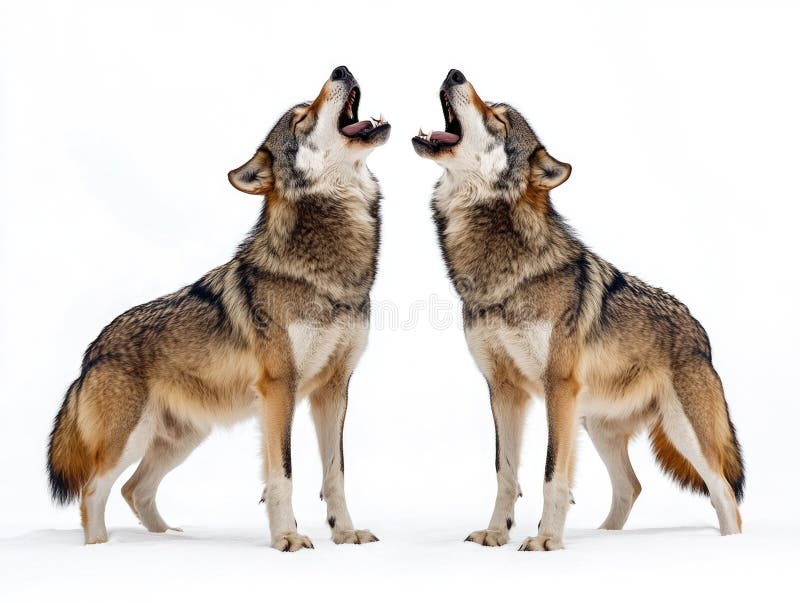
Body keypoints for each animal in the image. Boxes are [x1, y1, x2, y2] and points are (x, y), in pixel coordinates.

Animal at [47, 66, 390, 550]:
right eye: (302, 117)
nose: (341, 69)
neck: (333, 272)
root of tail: (90, 353)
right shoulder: (279, 390)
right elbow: (282, 474)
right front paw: (286, 538)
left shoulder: (334, 389)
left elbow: (335, 473)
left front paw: (345, 534)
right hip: (129, 441)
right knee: (94, 490)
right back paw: (100, 548)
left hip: (183, 439)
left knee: (135, 490)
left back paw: (170, 539)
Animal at [413, 69, 743, 551]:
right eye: (490, 106)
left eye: (497, 118)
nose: (454, 73)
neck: (498, 269)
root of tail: (701, 331)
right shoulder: (502, 390)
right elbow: (506, 473)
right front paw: (497, 533)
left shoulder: (558, 388)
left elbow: (553, 474)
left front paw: (547, 541)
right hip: (596, 427)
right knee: (631, 486)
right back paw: (605, 537)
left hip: (682, 432)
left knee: (723, 492)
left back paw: (731, 545)